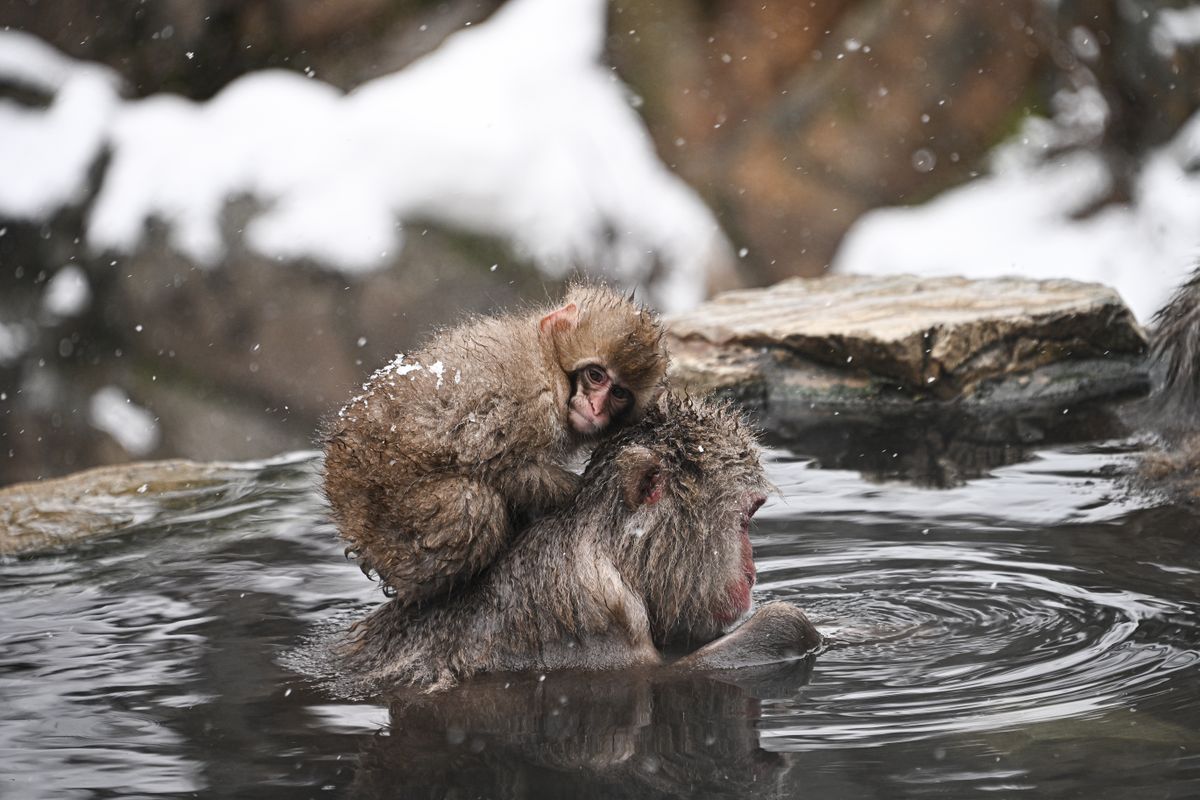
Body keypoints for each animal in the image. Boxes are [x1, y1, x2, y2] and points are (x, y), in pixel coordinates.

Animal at [321, 283, 669, 607]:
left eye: (618, 393)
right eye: (595, 375)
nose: (596, 409)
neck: (549, 357)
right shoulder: (534, 400)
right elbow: (492, 461)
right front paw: (580, 488)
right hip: (383, 513)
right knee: (473, 506)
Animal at [337, 393, 822, 693]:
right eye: (745, 520)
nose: (751, 573)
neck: (612, 555)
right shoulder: (588, 608)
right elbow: (656, 678)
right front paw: (790, 624)